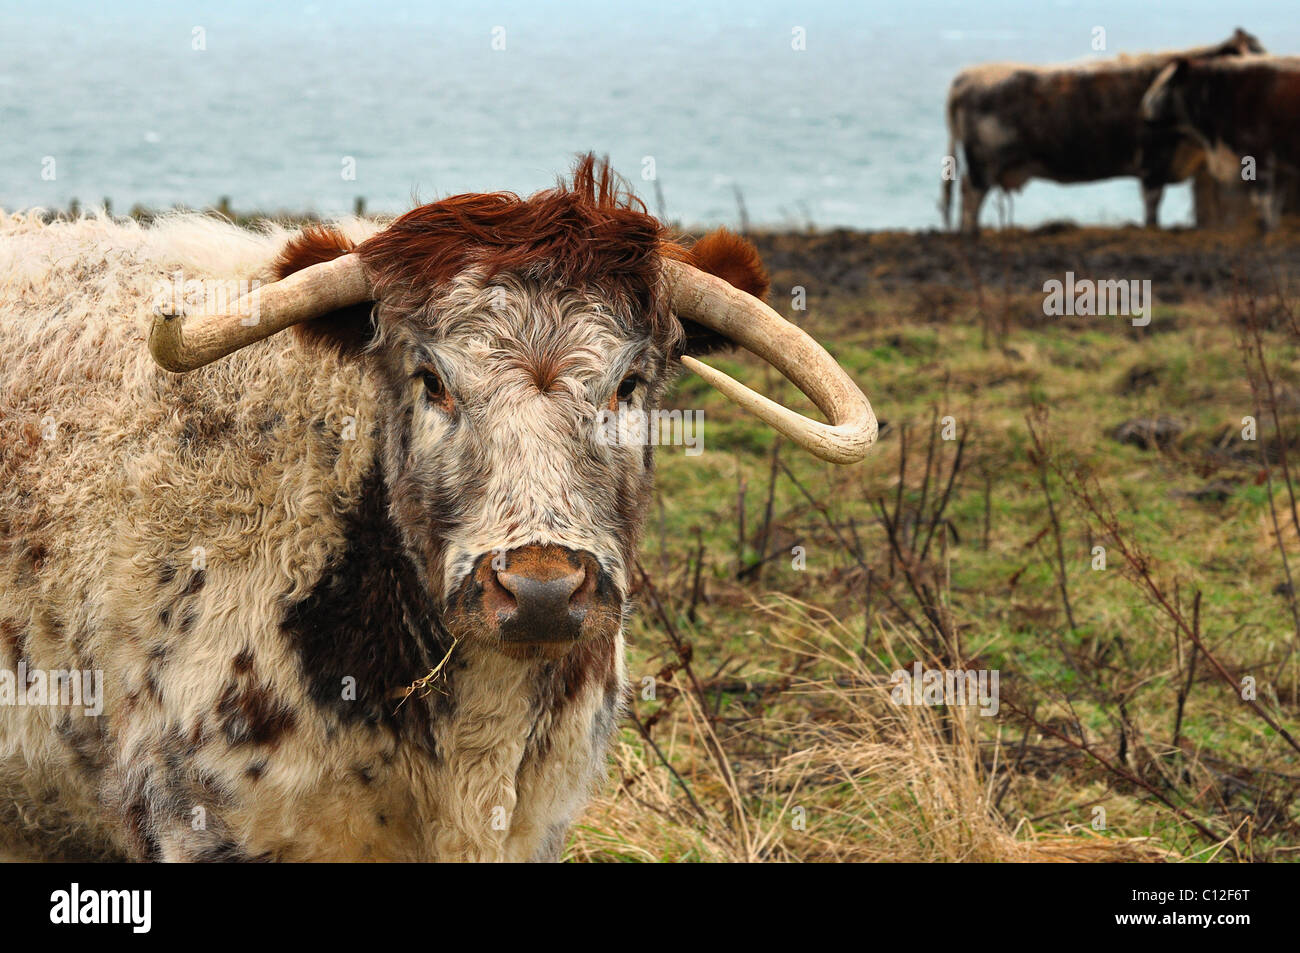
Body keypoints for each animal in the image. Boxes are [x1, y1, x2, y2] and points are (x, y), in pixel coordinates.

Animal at [942, 29, 1263, 234]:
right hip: (984, 161)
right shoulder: (1154, 157)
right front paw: (1152, 228)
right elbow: (1152, 202)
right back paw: (971, 233)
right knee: (972, 193)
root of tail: (968, 76)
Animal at [1142, 54, 1300, 230]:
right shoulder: (1280, 169)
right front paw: (1272, 230)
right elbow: (1275, 206)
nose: (1143, 107)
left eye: (1165, 84)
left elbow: (1262, 199)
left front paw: (1265, 230)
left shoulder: (1259, 157)